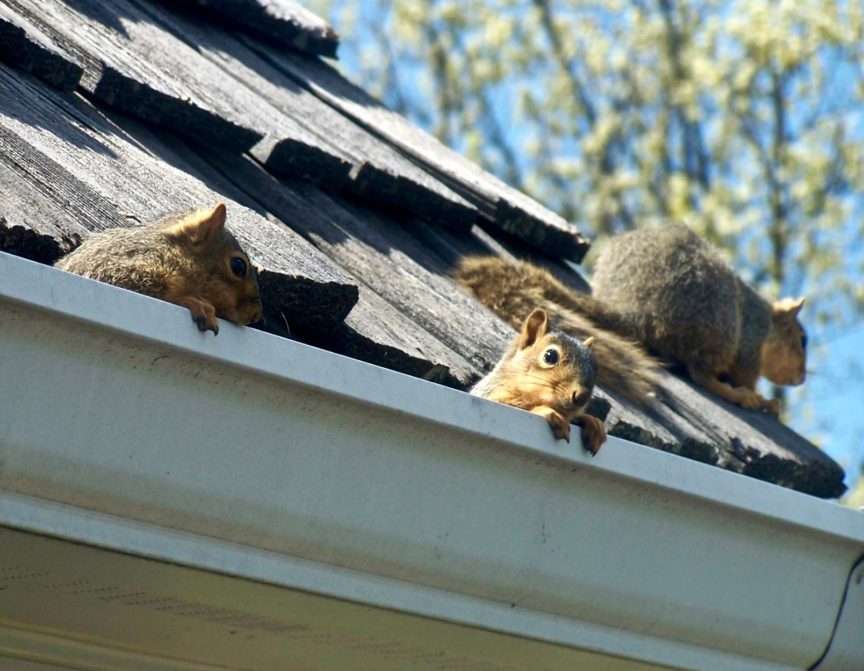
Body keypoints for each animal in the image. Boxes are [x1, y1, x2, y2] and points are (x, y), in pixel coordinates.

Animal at [456, 223, 807, 415]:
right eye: (802, 341)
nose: (802, 378)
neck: (769, 319)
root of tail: (640, 312)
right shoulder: (752, 337)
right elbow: (745, 371)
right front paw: (756, 394)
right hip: (722, 322)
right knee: (701, 372)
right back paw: (743, 396)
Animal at [471, 308, 607, 454]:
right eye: (550, 355)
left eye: (596, 368)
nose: (582, 396)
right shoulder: (492, 394)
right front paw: (548, 412)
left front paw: (593, 423)